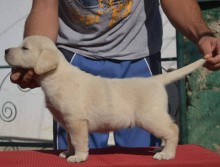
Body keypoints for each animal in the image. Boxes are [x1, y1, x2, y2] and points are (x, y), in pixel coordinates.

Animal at [4, 36, 205, 162]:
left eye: (24, 48)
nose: (5, 50)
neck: (56, 76)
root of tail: (155, 80)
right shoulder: (68, 123)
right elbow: (70, 139)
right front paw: (68, 153)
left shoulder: (76, 120)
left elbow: (78, 140)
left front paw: (78, 157)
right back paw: (161, 149)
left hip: (150, 116)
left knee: (172, 130)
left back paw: (167, 154)